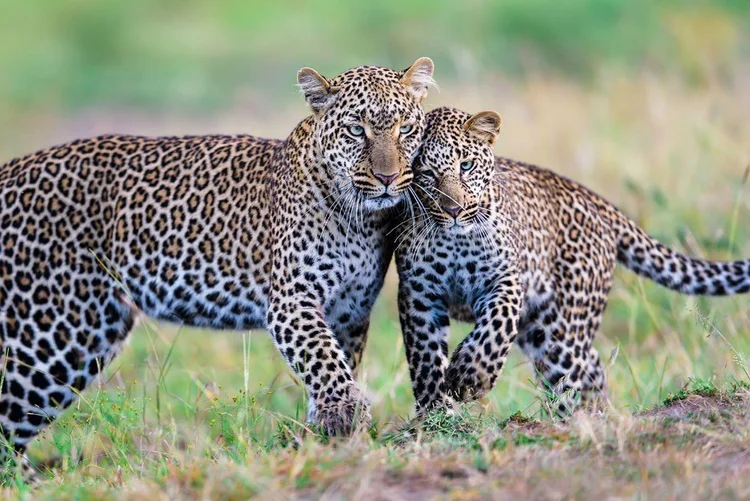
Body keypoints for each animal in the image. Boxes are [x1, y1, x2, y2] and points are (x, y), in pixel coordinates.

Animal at [0, 57, 437, 473]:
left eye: (406, 129)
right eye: (355, 131)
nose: (387, 177)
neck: (361, 218)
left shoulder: (350, 312)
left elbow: (335, 361)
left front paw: (322, 431)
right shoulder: (292, 300)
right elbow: (322, 355)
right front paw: (344, 412)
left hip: (87, 335)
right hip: (49, 330)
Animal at [395, 106, 750, 416]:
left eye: (466, 166)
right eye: (426, 174)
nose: (454, 209)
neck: (455, 237)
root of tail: (596, 200)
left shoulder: (505, 281)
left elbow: (495, 327)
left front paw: (471, 377)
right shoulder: (418, 294)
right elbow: (425, 357)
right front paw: (436, 415)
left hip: (559, 327)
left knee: (572, 373)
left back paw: (577, 420)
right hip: (545, 330)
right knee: (589, 365)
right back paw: (598, 414)